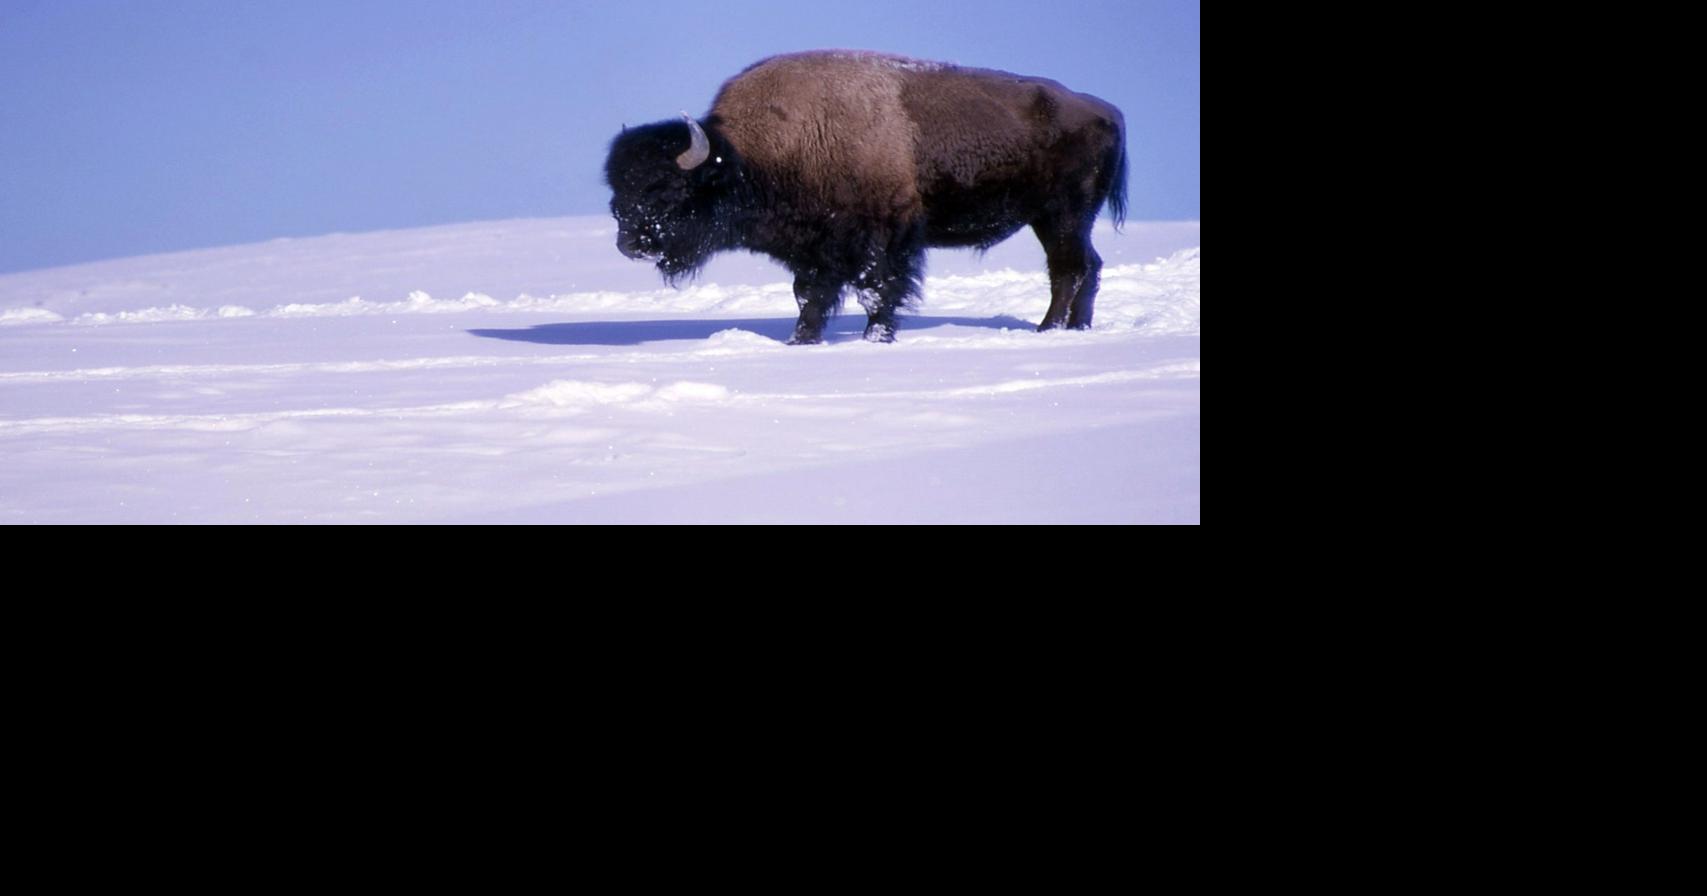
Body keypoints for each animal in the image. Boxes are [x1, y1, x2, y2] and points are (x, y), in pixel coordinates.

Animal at [604, 50, 1127, 344]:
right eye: (616, 192)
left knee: (1068, 270)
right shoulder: (815, 249)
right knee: (1089, 266)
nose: (630, 245)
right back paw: (1076, 328)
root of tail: (1105, 109)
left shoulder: (884, 237)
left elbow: (878, 290)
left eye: (668, 190)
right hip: (1061, 220)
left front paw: (877, 337)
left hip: (1060, 216)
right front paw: (802, 339)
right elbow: (809, 295)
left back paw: (1048, 329)